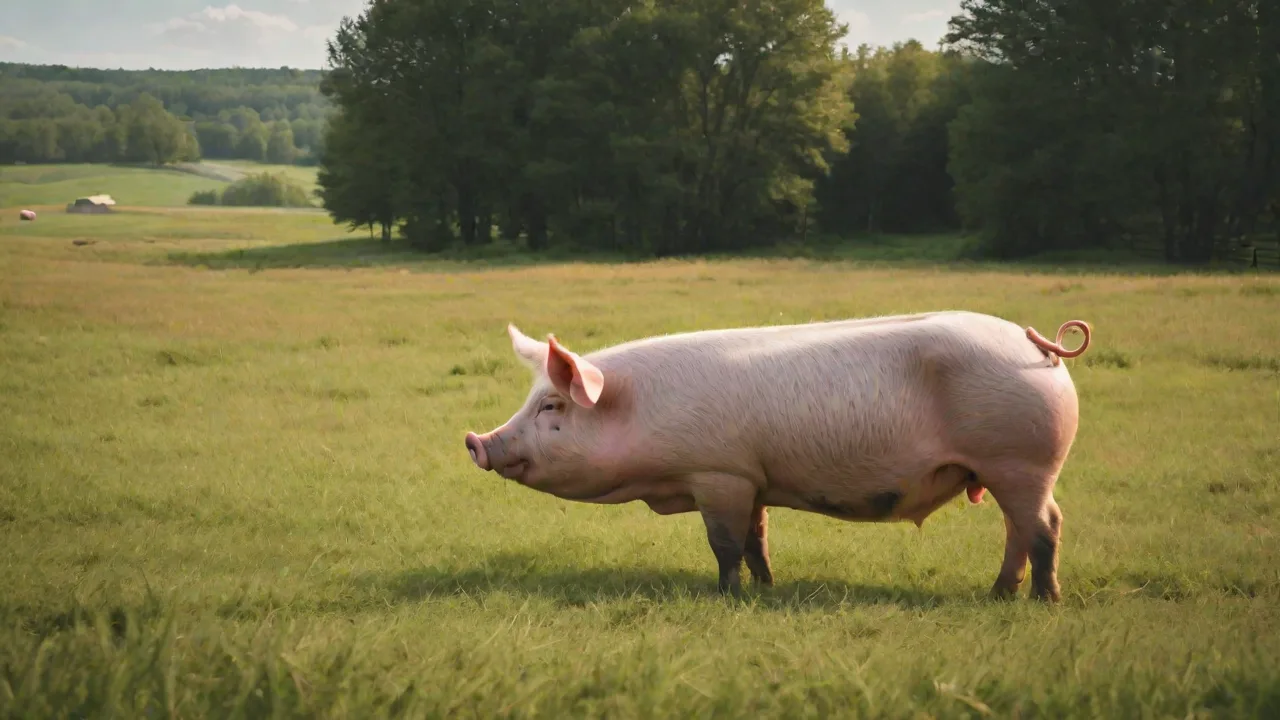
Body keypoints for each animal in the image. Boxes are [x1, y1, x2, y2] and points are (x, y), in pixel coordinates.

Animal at [464, 311, 1092, 602]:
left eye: (550, 406)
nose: (476, 441)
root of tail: (1036, 342)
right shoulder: (752, 477)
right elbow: (755, 537)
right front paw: (767, 588)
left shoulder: (718, 472)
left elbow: (723, 542)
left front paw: (727, 595)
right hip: (1002, 468)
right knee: (1018, 530)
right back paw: (997, 594)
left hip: (1022, 461)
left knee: (1046, 525)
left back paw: (1043, 601)